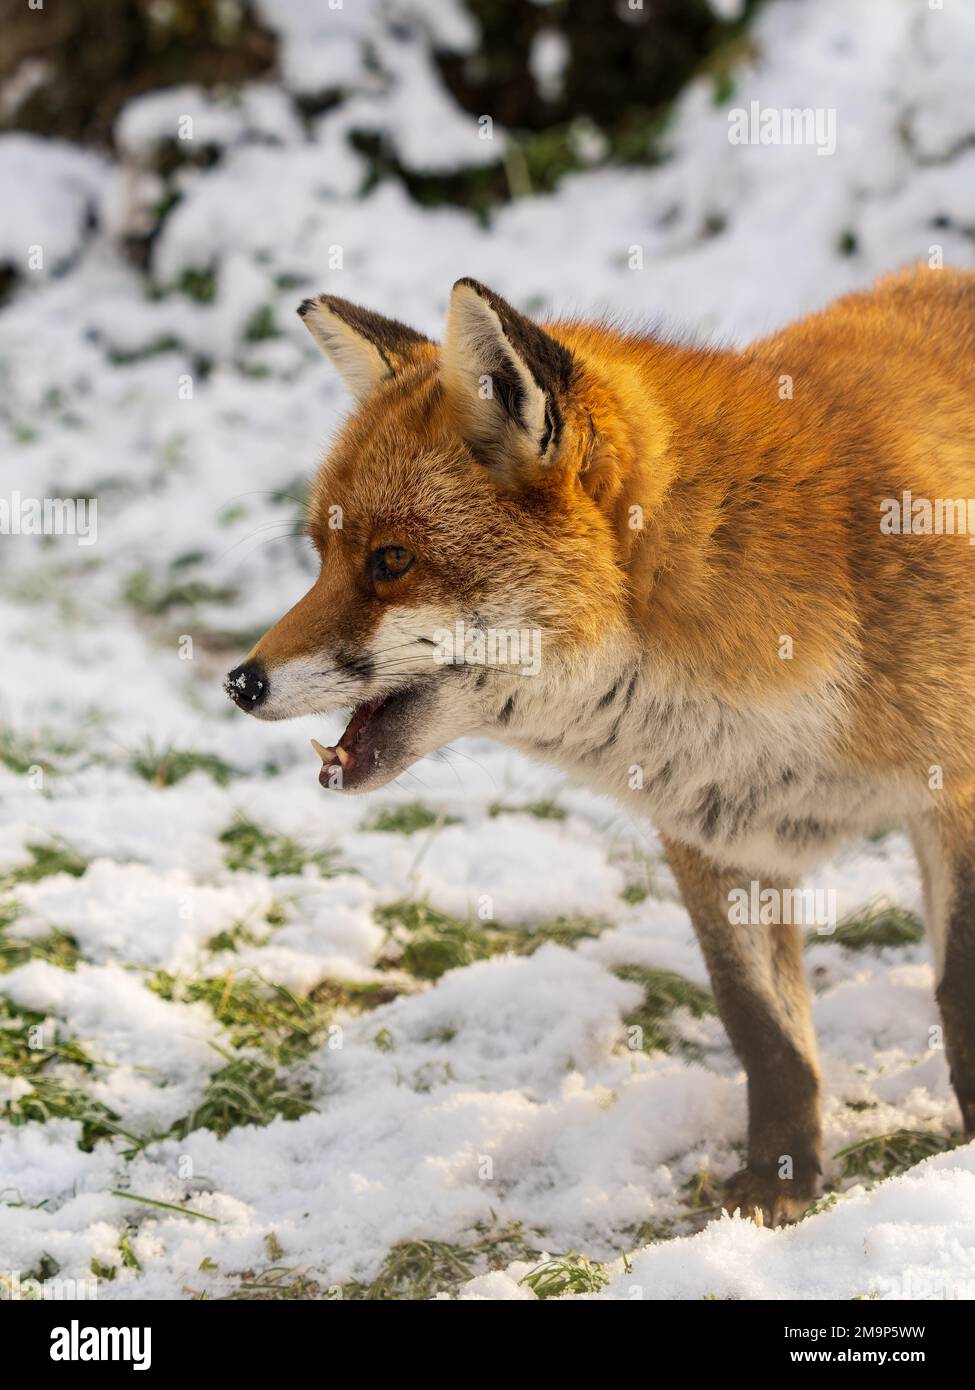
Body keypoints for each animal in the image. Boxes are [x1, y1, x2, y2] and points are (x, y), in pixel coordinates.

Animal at [226, 266, 975, 1224]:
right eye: (322, 554)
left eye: (391, 561)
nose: (239, 683)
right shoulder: (714, 834)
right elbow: (764, 1030)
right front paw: (779, 1183)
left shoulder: (953, 798)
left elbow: (957, 990)